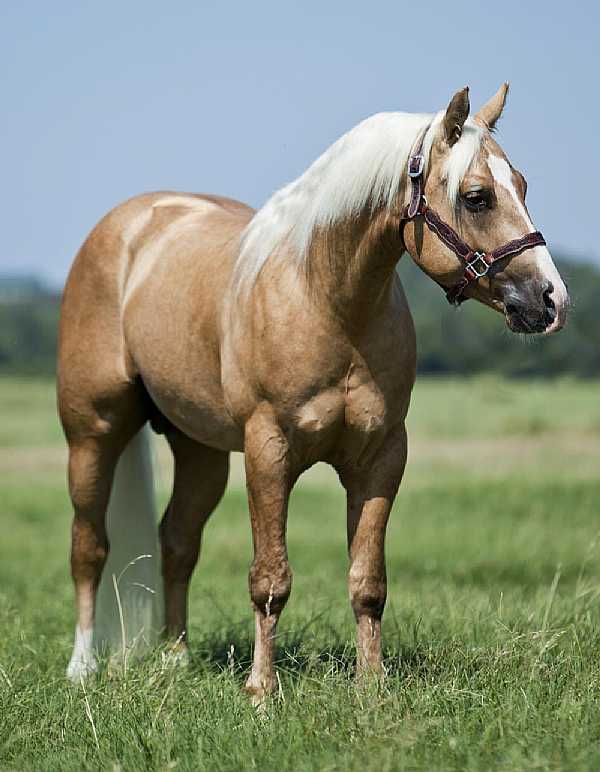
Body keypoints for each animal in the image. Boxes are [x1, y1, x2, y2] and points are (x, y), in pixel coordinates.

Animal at [58, 84, 569, 699]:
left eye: (521, 185)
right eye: (476, 197)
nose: (550, 300)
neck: (325, 300)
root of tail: (127, 225)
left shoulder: (381, 458)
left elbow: (367, 581)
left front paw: (371, 688)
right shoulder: (268, 452)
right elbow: (270, 578)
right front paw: (261, 692)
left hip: (199, 450)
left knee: (177, 541)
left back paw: (175, 659)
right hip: (93, 435)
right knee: (89, 547)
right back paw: (82, 667)